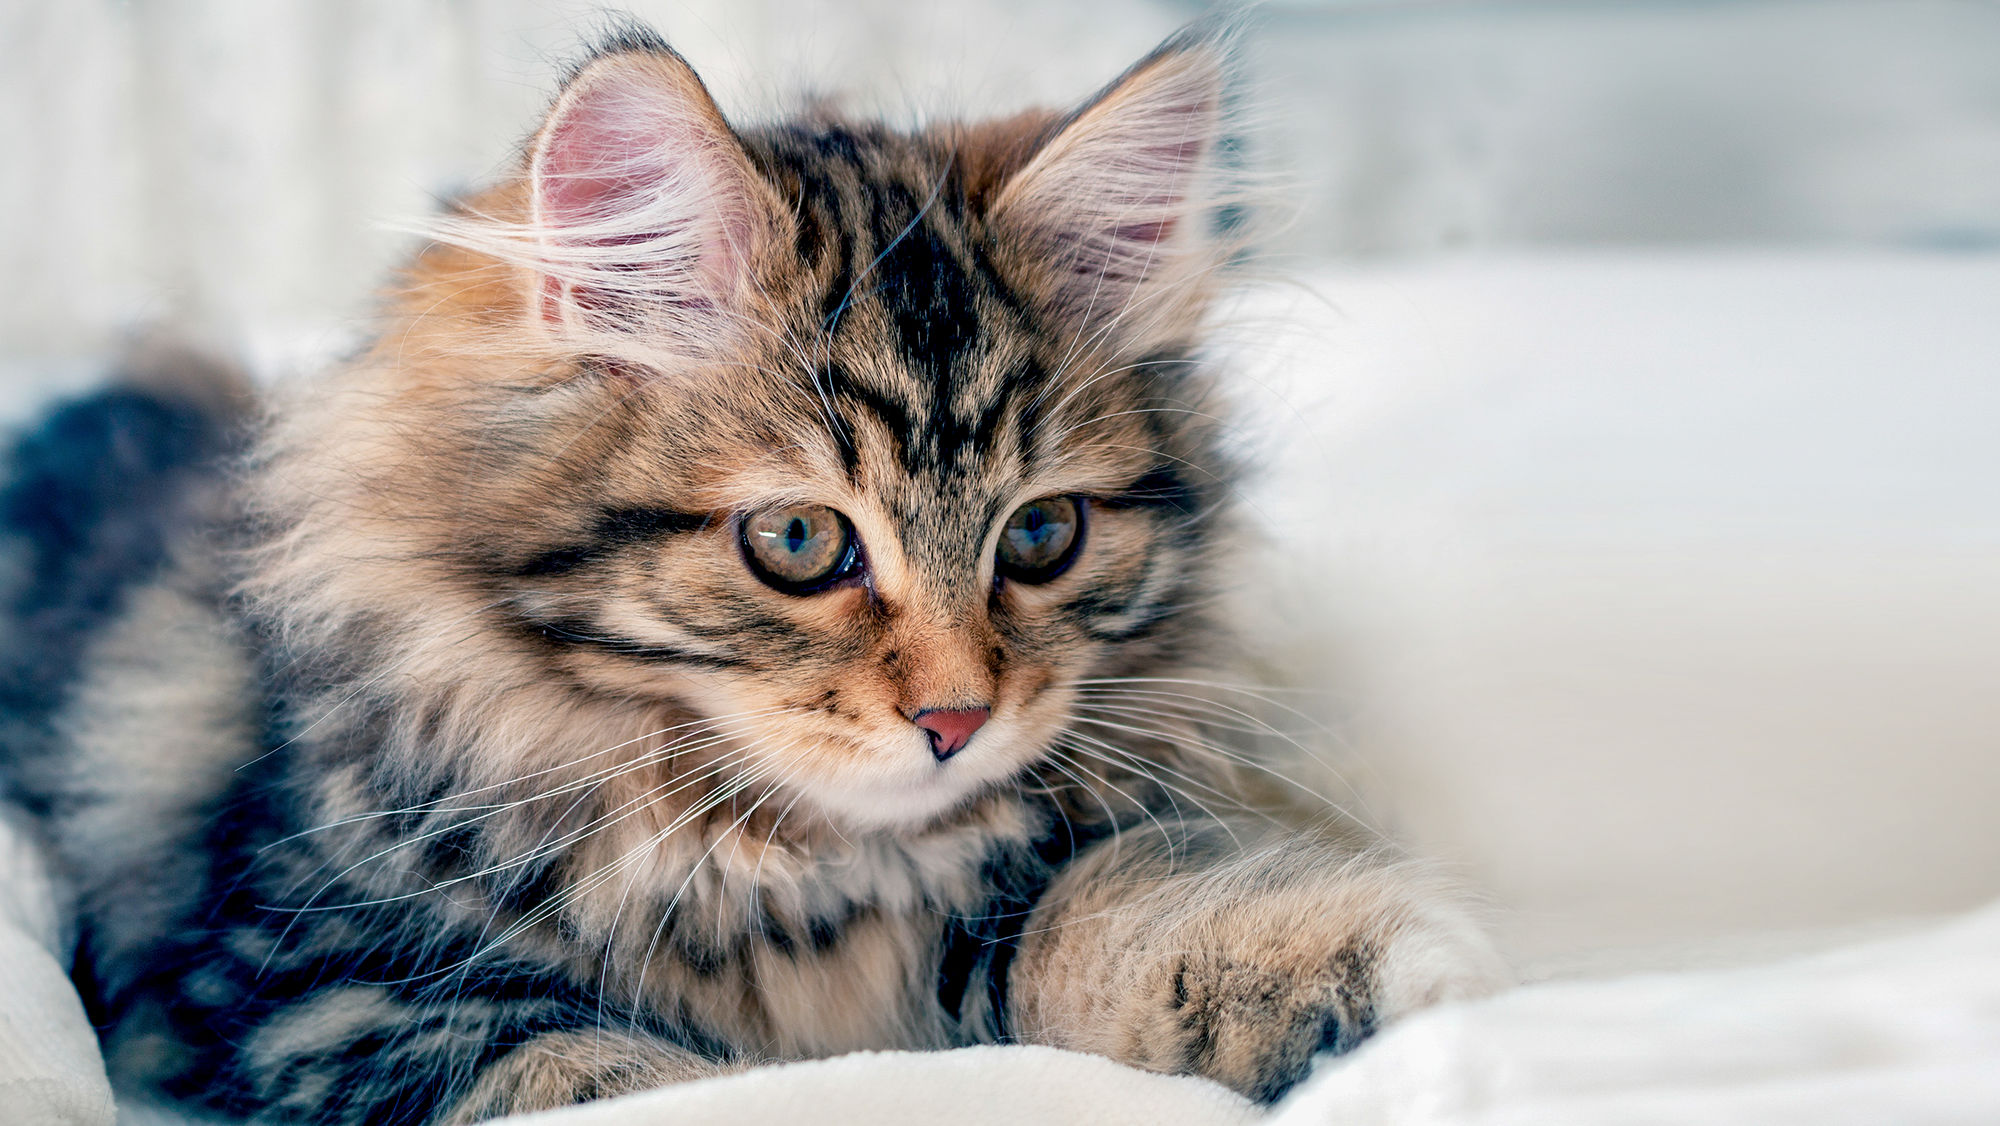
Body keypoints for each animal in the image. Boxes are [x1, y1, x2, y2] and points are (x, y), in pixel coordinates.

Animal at [0, 19, 1504, 1126]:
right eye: (798, 544)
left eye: (1040, 536)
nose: (956, 719)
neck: (768, 862)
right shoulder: (294, 989)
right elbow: (602, 1073)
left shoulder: (997, 892)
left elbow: (1106, 911)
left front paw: (1376, 983)